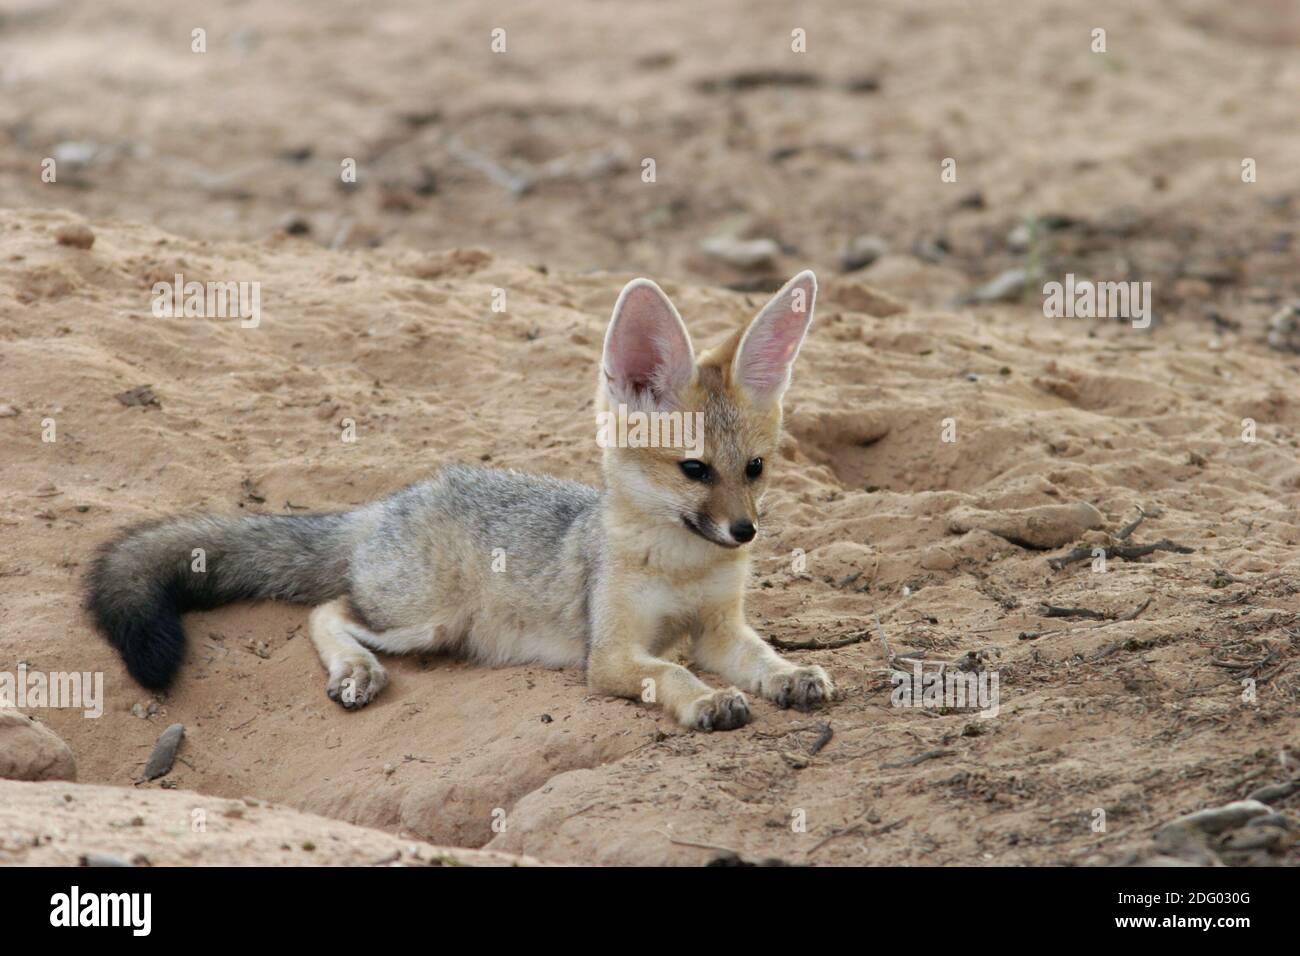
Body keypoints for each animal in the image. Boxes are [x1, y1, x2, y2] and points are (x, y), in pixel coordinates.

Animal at [86, 270, 833, 730]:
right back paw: (357, 669)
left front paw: (790, 675)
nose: (744, 532)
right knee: (326, 611)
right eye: (694, 470)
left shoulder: (720, 629)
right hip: (431, 622)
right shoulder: (612, 656)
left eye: (756, 469)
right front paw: (708, 701)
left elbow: (759, 657)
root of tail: (392, 501)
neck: (683, 567)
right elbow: (671, 673)